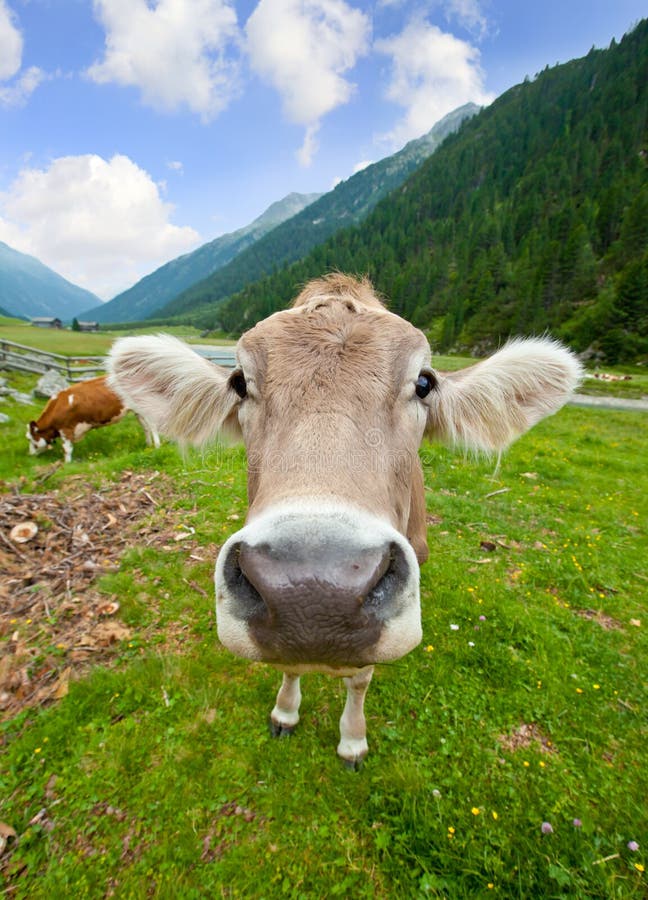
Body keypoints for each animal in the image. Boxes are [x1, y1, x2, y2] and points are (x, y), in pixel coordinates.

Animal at [27, 375, 160, 463]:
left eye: (30, 438)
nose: (30, 455)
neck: (58, 405)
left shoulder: (66, 429)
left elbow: (67, 449)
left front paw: (67, 464)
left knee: (152, 426)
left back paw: (157, 446)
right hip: (138, 410)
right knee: (145, 427)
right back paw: (148, 445)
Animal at [107, 274, 582, 766]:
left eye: (424, 382)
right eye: (238, 382)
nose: (313, 592)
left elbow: (359, 677)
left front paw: (353, 739)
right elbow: (291, 666)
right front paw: (285, 712)